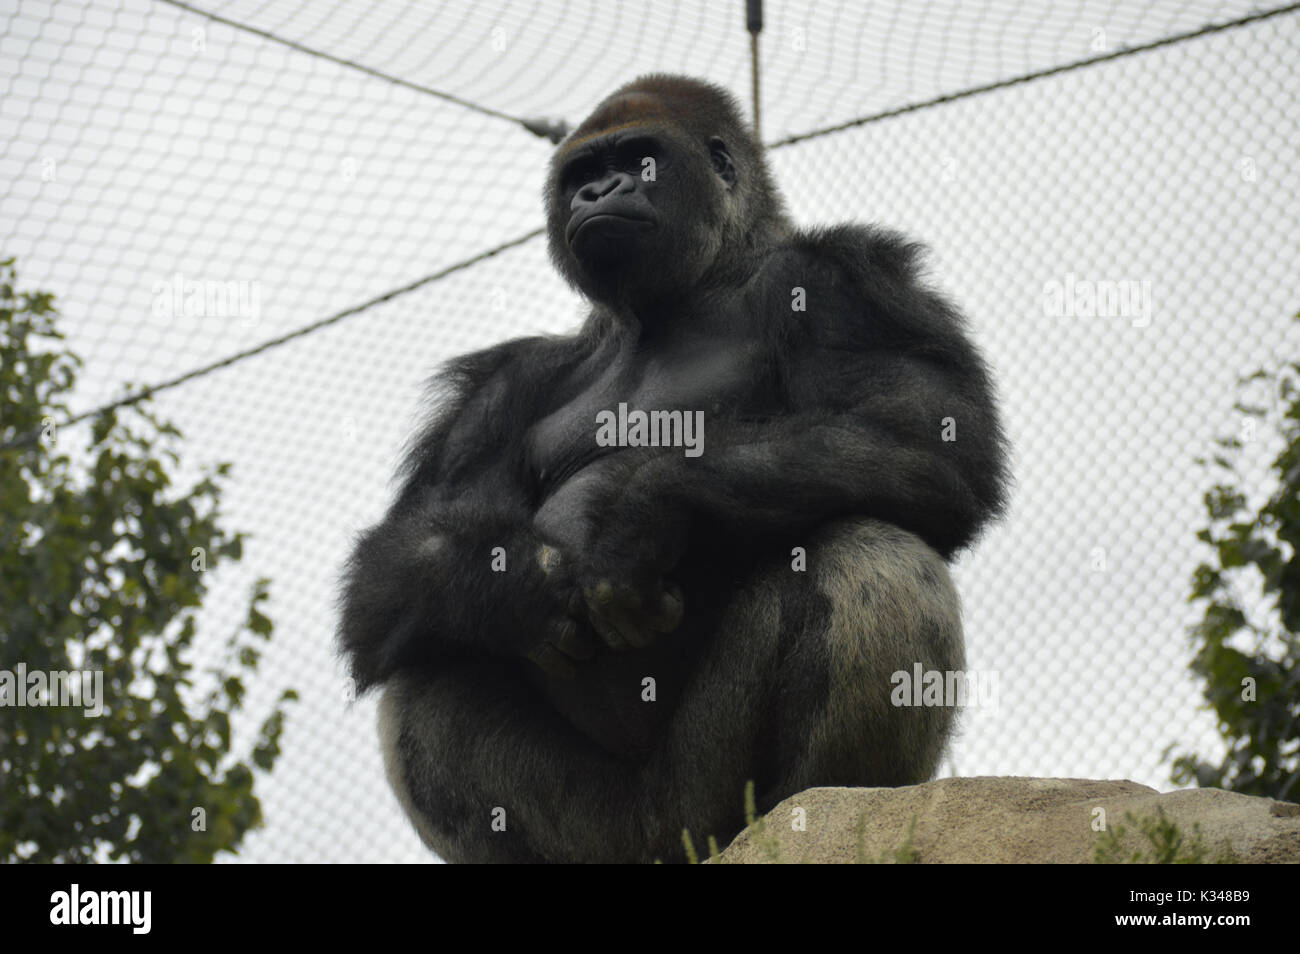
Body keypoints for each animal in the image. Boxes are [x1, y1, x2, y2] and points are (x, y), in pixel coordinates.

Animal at [339, 74, 1008, 862]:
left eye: (640, 157)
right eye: (583, 171)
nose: (599, 191)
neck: (695, 285)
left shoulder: (840, 276)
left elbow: (926, 434)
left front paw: (644, 516)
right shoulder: (503, 383)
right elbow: (396, 566)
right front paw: (518, 583)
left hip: (716, 805)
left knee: (871, 551)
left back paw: (819, 812)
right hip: (617, 831)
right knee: (426, 667)